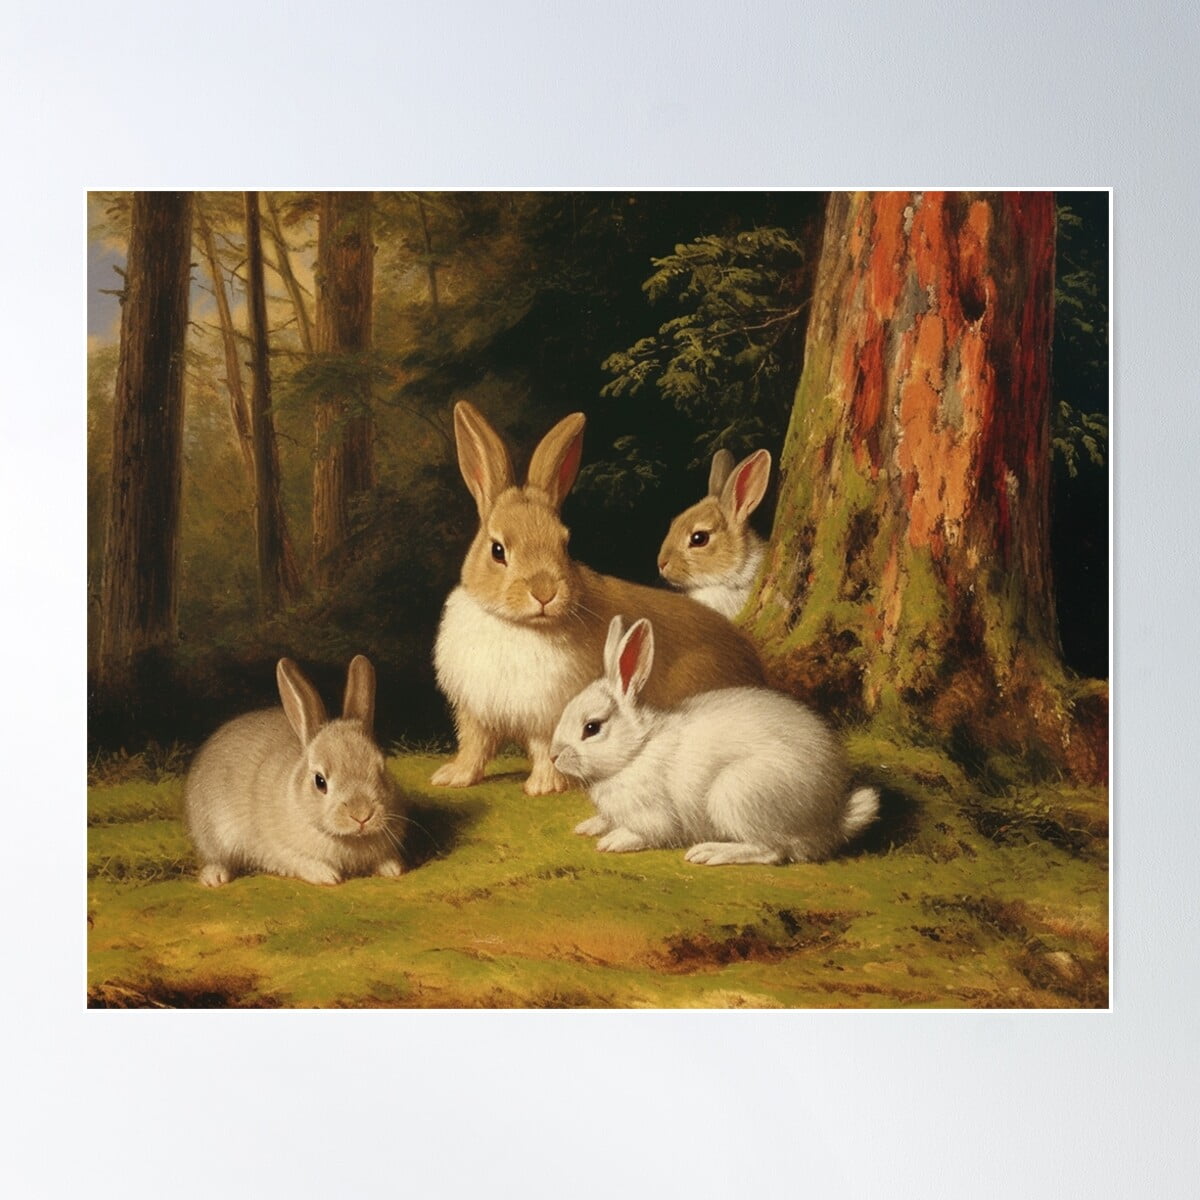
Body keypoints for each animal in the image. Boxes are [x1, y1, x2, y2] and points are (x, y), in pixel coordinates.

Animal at [184, 655, 406, 886]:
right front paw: (328, 875)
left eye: (381, 770)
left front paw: (393, 868)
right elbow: (301, 861)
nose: (362, 815)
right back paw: (214, 878)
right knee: (216, 857)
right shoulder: (280, 849)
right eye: (320, 781)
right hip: (212, 831)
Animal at [549, 616, 880, 865]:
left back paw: (711, 852)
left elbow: (647, 833)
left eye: (591, 727)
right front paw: (588, 826)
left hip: (736, 793)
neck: (637, 750)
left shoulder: (654, 816)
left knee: (773, 850)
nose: (553, 756)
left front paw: (613, 841)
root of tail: (831, 819)